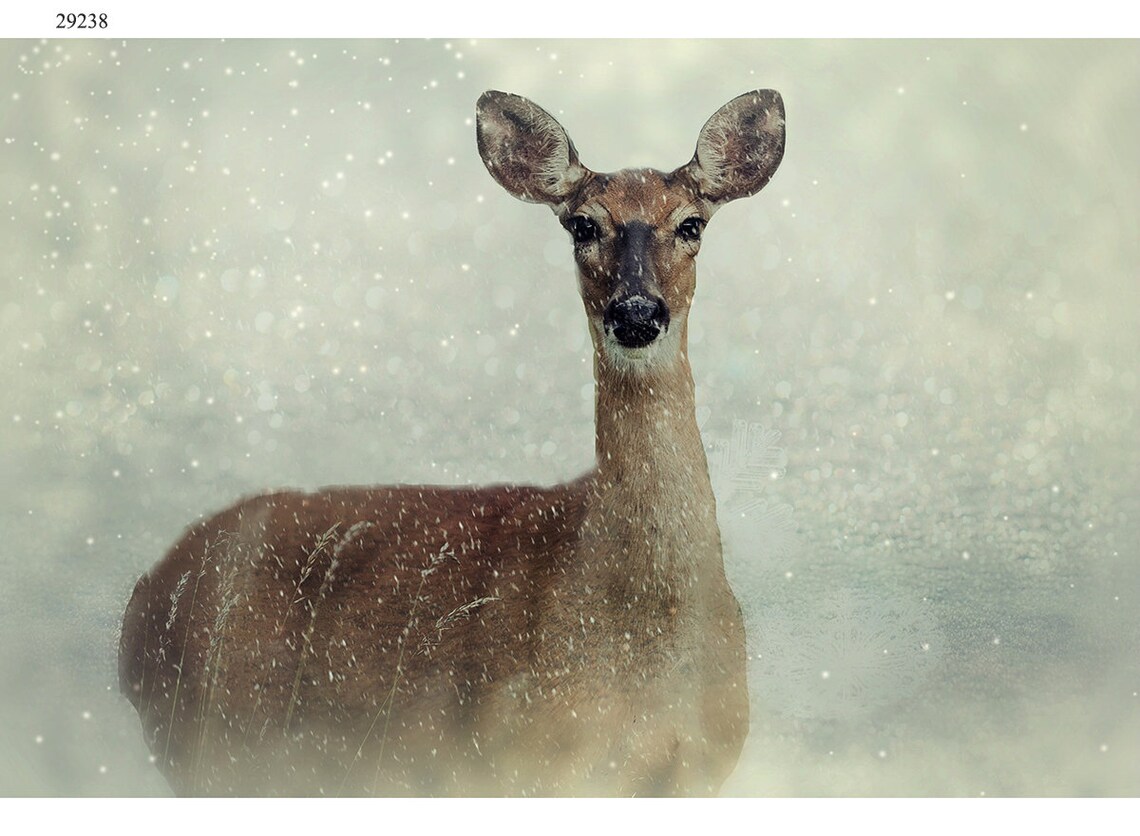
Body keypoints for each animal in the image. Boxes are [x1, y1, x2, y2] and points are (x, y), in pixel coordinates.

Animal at [118, 89, 786, 796]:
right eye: (581, 226)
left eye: (692, 224)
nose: (636, 313)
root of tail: (140, 603)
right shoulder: (518, 759)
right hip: (214, 743)